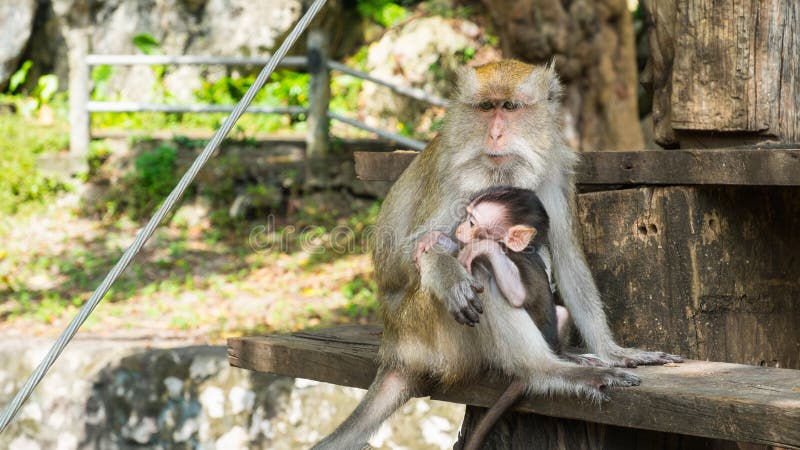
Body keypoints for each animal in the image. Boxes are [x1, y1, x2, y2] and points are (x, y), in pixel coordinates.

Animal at [312, 60, 682, 450]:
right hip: (429, 339)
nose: (495, 134)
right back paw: (545, 372)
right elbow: (408, 255)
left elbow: (567, 256)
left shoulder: (554, 171)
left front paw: (615, 352)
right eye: (487, 107)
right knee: (482, 269)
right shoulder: (451, 175)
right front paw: (447, 271)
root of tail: (393, 349)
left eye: (511, 107)